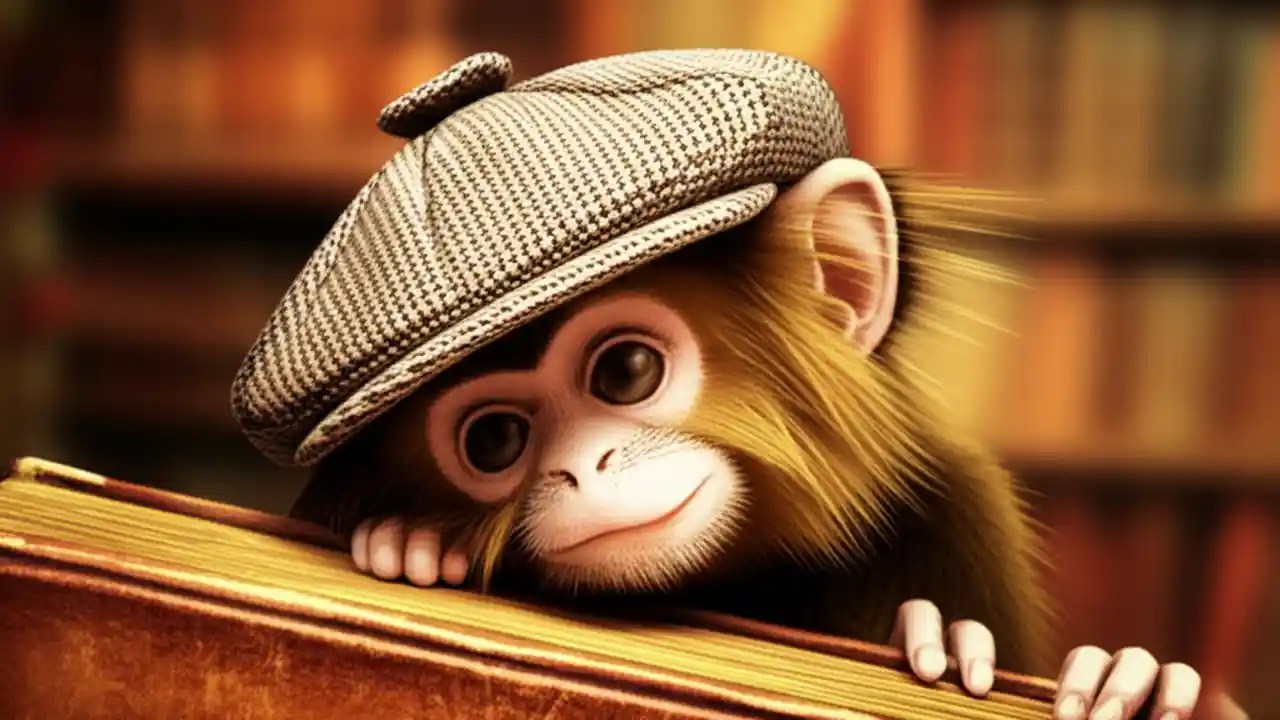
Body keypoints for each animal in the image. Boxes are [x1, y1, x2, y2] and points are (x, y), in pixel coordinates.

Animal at [287, 159, 1218, 720]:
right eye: (493, 443)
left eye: (626, 370)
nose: (583, 467)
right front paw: (410, 540)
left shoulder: (960, 505)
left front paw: (1117, 679)